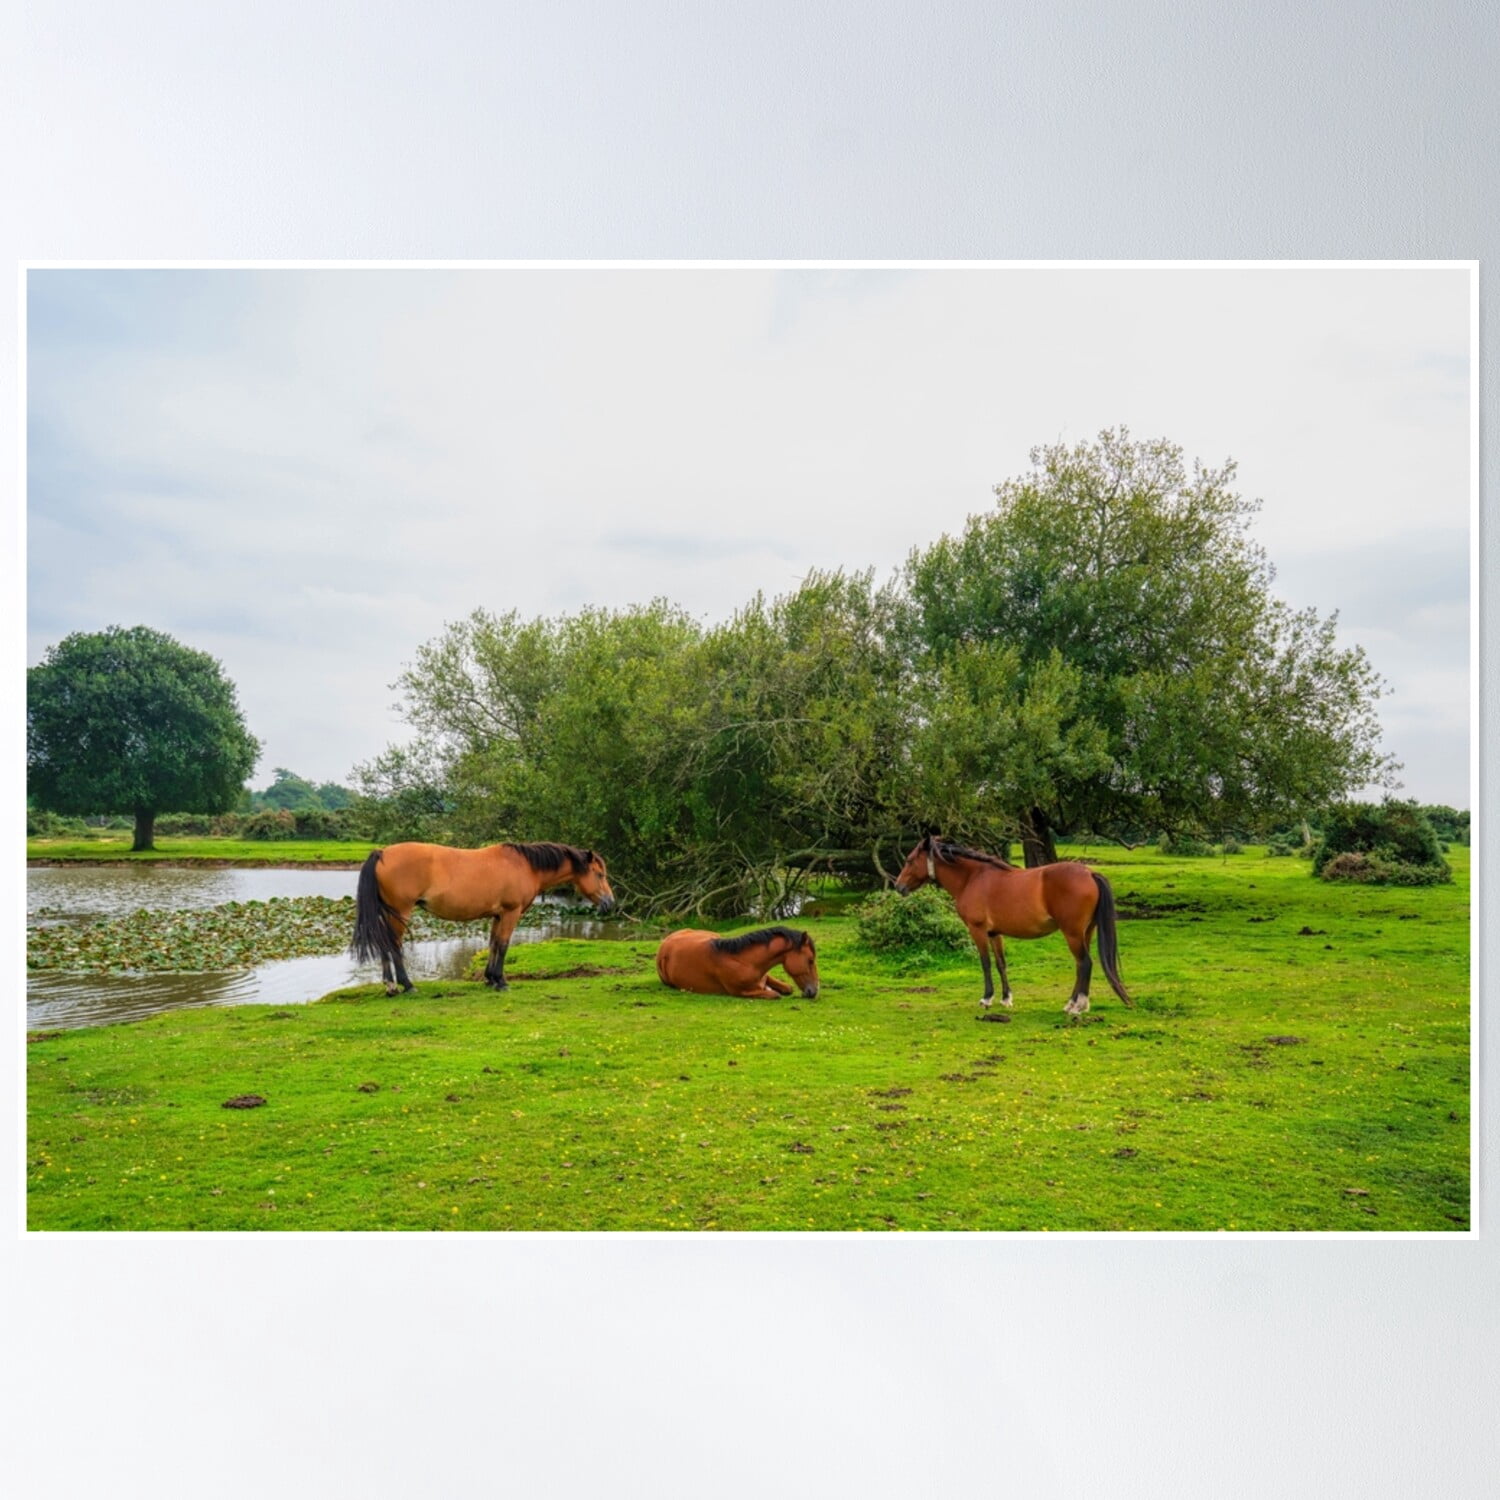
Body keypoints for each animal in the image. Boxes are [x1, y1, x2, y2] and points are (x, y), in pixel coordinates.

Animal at [351, 840, 615, 995]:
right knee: (394, 944)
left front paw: (490, 979)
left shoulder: (498, 915)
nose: (610, 904)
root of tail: (382, 853)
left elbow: (493, 944)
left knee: (385, 944)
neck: (525, 865)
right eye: (599, 874)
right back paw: (407, 985)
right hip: (401, 911)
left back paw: (391, 986)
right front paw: (501, 981)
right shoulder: (511, 913)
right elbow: (504, 945)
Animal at [656, 925, 821, 999]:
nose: (814, 991)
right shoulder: (741, 992)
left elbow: (787, 988)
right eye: (810, 960)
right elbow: (775, 994)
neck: (745, 961)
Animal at [894, 834, 1130, 1014]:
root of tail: (1090, 873)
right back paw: (1073, 1004)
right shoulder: (994, 933)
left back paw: (1077, 1007)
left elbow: (985, 962)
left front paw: (987, 998)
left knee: (1085, 963)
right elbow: (1001, 963)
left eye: (909, 860)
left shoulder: (977, 930)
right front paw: (1006, 998)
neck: (972, 878)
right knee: (1081, 965)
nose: (898, 886)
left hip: (1072, 933)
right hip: (1085, 932)